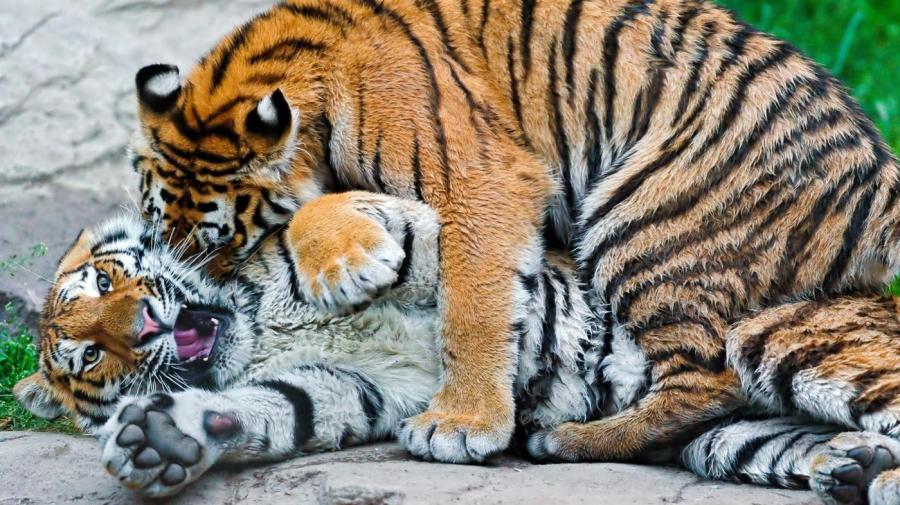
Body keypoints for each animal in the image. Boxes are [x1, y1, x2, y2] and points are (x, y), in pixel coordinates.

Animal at [13, 193, 900, 504]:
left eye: (103, 280)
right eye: (90, 357)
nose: (143, 327)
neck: (260, 328)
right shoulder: (345, 386)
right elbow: (266, 406)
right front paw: (161, 439)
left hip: (778, 333)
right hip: (729, 435)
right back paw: (852, 468)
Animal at [129, 0, 900, 469]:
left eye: (221, 242)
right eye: (164, 233)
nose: (208, 303)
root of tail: (879, 173)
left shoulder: (481, 179)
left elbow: (472, 308)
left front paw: (460, 424)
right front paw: (349, 259)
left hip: (642, 223)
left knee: (706, 378)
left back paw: (567, 438)